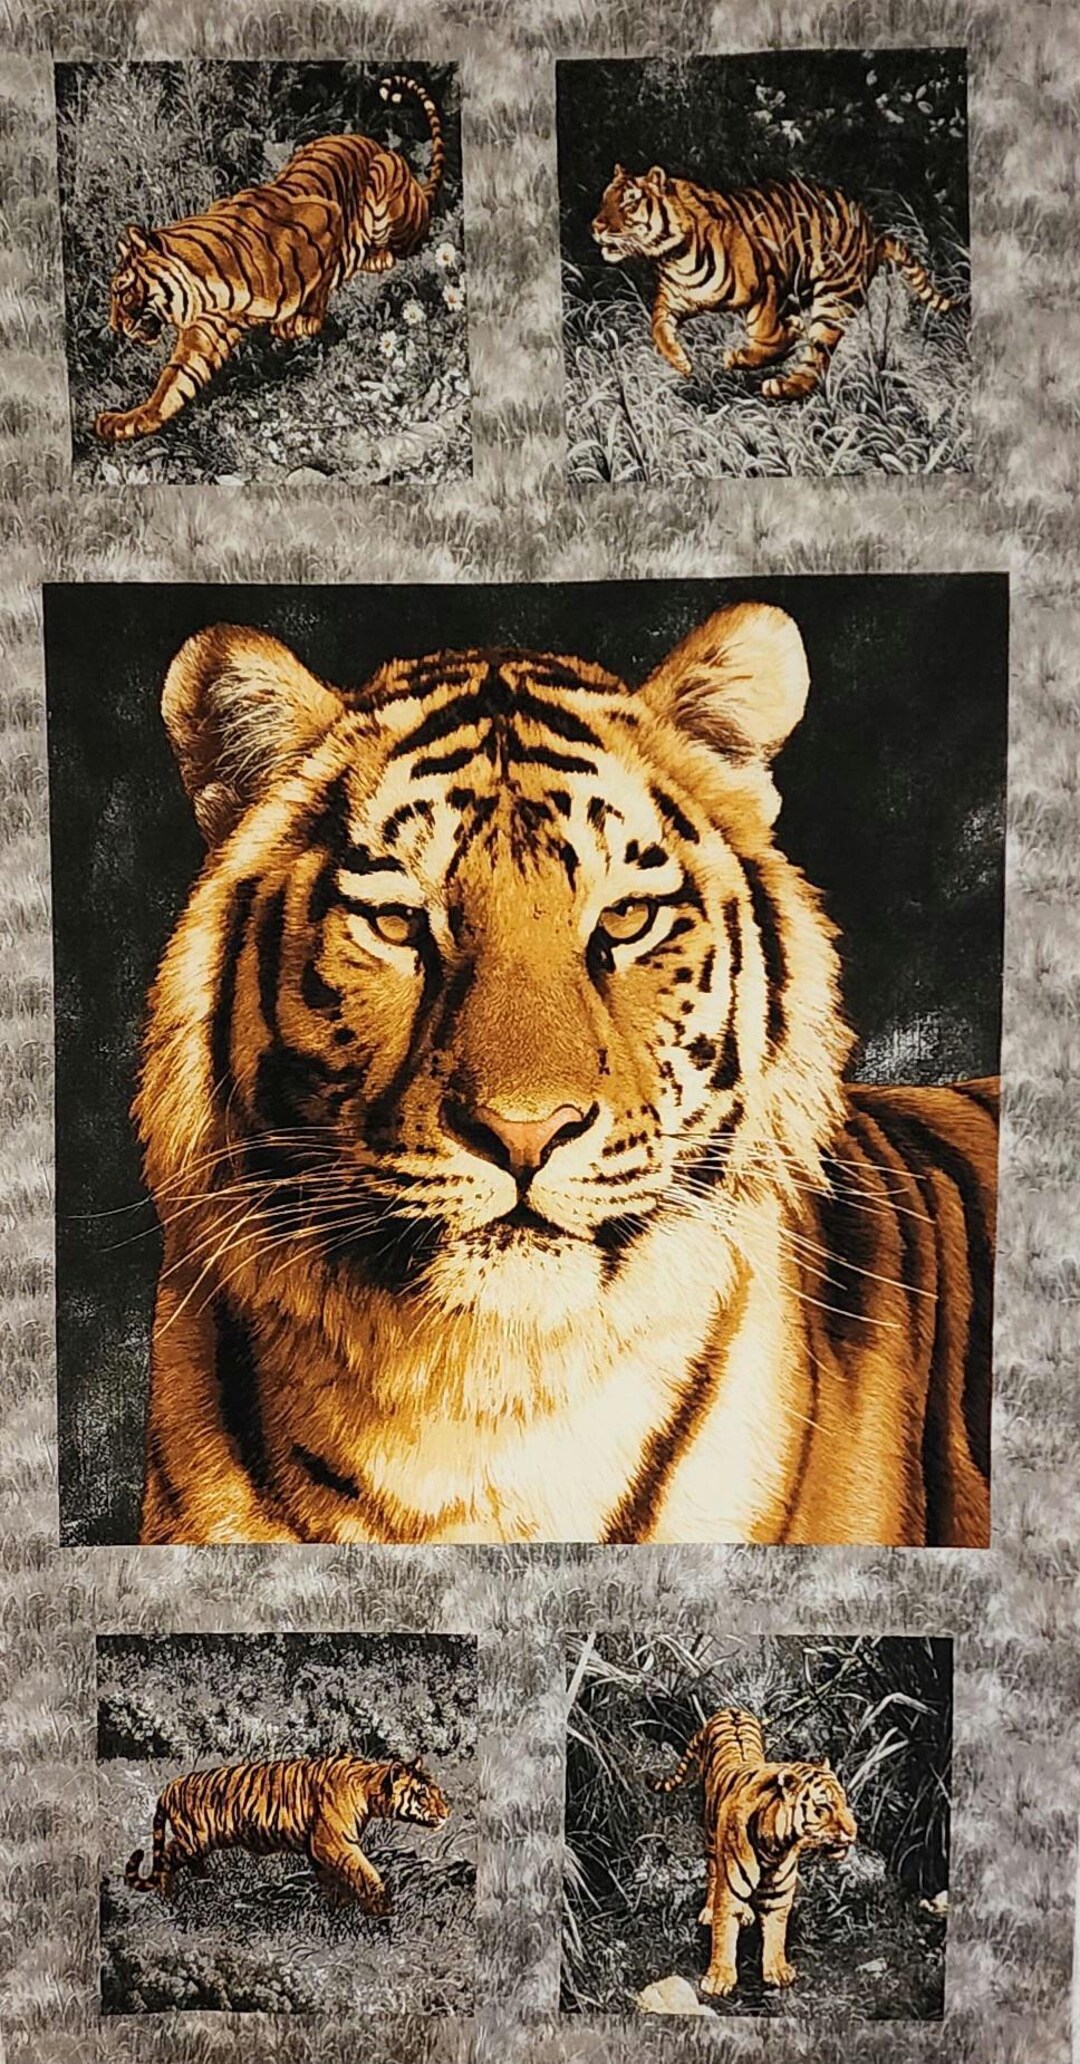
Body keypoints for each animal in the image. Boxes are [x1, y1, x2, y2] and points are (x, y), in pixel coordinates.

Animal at [95, 73, 444, 443]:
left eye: (123, 292)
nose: (114, 327)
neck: (204, 290)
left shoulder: (326, 216)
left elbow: (321, 276)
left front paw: (299, 322)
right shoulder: (207, 330)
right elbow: (172, 383)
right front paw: (127, 421)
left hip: (384, 183)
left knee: (411, 239)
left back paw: (379, 258)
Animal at [124, 1751, 449, 1910]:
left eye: (437, 1791)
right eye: (422, 1795)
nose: (447, 1813)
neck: (369, 1788)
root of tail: (170, 1786)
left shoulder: (320, 1850)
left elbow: (334, 1883)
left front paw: (339, 1912)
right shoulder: (334, 1843)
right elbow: (366, 1874)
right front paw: (382, 1911)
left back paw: (208, 1887)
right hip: (194, 1838)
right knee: (165, 1858)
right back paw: (171, 1898)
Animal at [591, 166, 954, 398]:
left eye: (629, 202)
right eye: (604, 198)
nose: (596, 226)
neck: (672, 256)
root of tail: (873, 233)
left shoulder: (765, 288)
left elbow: (770, 336)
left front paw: (737, 358)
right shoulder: (674, 299)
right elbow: (658, 327)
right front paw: (681, 361)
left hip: (833, 297)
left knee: (816, 356)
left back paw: (783, 386)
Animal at [648, 1707, 857, 1997]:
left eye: (844, 1802)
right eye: (823, 1806)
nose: (853, 1831)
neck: (777, 1846)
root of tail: (730, 1710)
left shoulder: (780, 1893)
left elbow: (777, 1934)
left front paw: (777, 1970)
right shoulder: (730, 1890)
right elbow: (724, 1934)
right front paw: (718, 1979)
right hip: (711, 1837)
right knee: (712, 1875)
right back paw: (708, 1911)